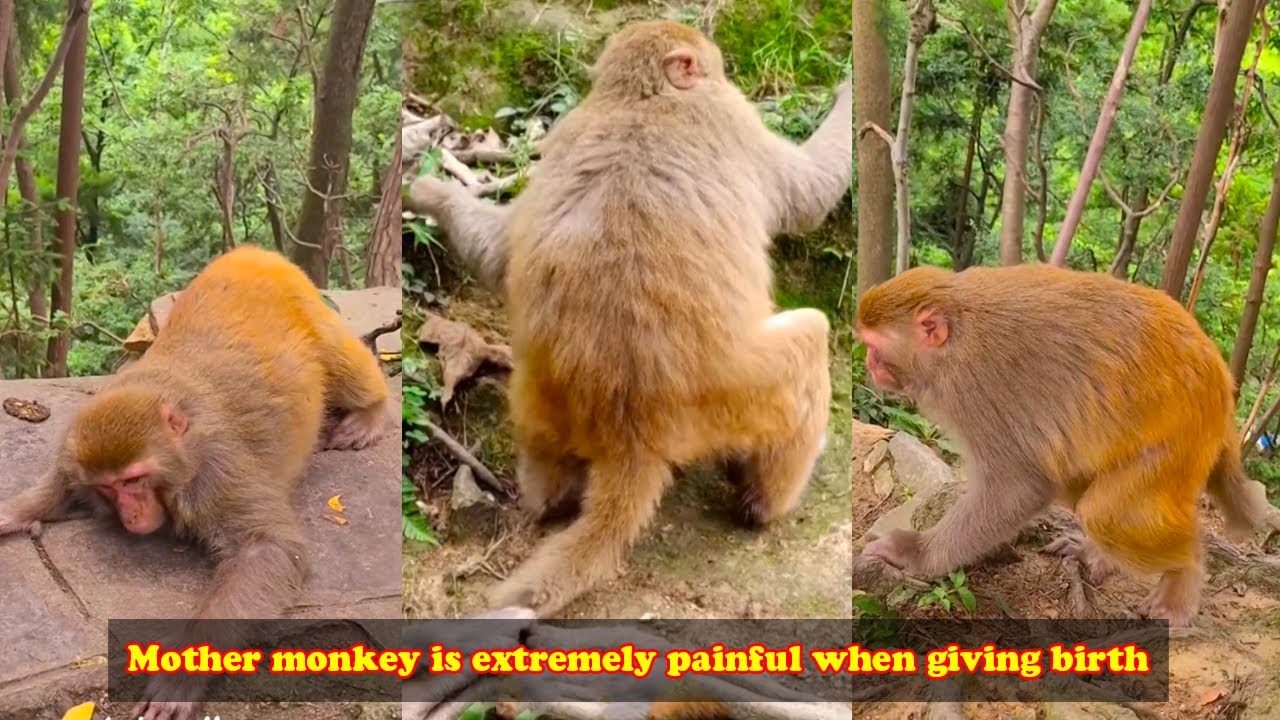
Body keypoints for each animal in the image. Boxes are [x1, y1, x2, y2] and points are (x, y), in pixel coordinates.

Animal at [0, 246, 392, 720]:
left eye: (135, 480)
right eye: (110, 487)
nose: (132, 516)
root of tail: (252, 253)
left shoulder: (216, 470)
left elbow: (266, 548)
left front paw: (183, 673)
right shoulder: (74, 449)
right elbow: (57, 486)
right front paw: (14, 513)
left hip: (314, 309)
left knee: (342, 359)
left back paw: (372, 411)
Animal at [419, 20, 850, 617]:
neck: (640, 97)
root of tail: (632, 429)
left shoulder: (567, 131)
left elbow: (501, 250)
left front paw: (430, 194)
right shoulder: (730, 116)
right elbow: (810, 193)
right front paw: (851, 94)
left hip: (540, 400)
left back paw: (548, 500)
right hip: (741, 396)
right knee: (810, 336)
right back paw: (766, 504)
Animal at [855, 264, 1273, 627]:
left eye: (875, 346)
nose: (868, 364)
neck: (956, 334)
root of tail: (1221, 379)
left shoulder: (975, 391)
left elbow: (1018, 488)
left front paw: (916, 553)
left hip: (1180, 438)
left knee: (1107, 513)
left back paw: (1184, 576)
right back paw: (1100, 555)